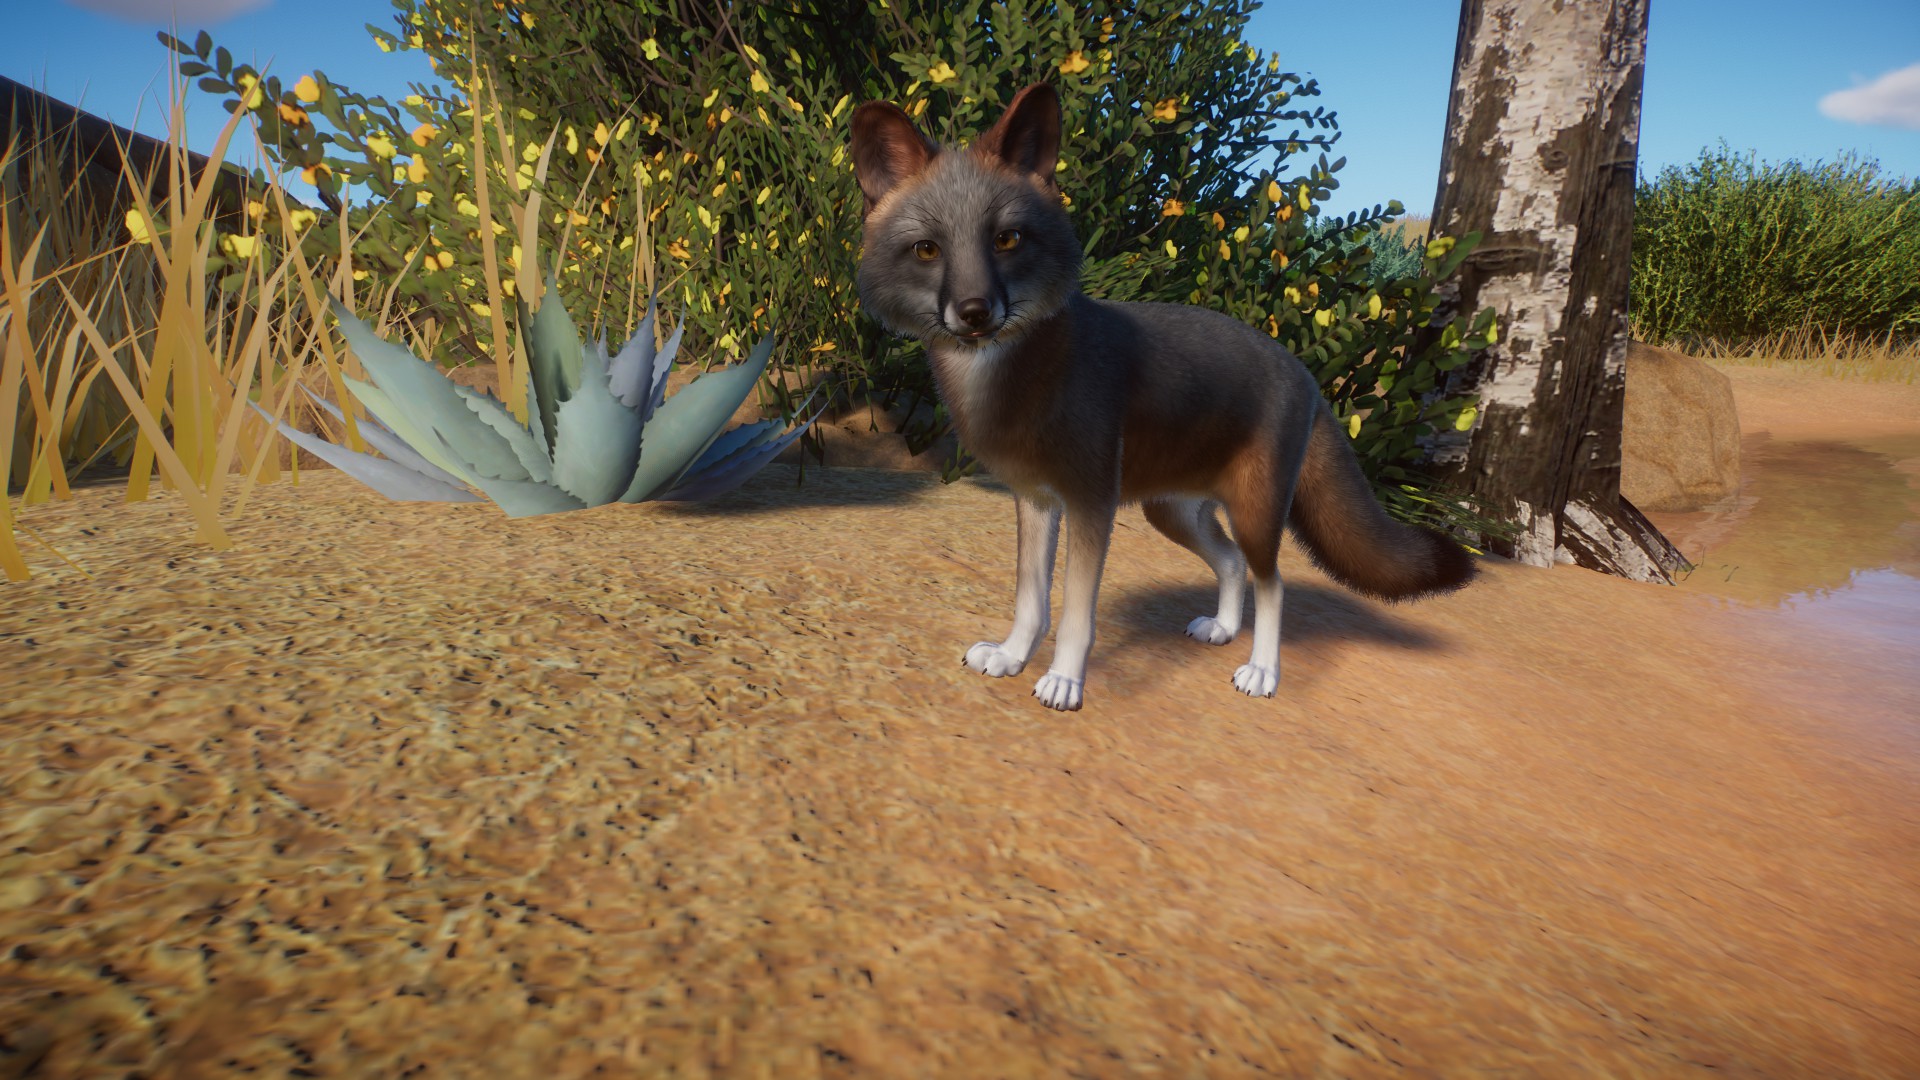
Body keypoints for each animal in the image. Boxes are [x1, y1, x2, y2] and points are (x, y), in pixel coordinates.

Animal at [849, 82, 1477, 712]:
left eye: (1006, 240)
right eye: (928, 250)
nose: (975, 313)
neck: (1016, 383)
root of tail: (1301, 369)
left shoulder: (1091, 503)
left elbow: (1076, 613)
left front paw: (1065, 681)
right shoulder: (1035, 500)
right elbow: (1031, 599)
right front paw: (1011, 656)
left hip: (1252, 515)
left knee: (1273, 585)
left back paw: (1262, 671)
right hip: (1172, 514)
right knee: (1232, 564)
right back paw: (1224, 629)